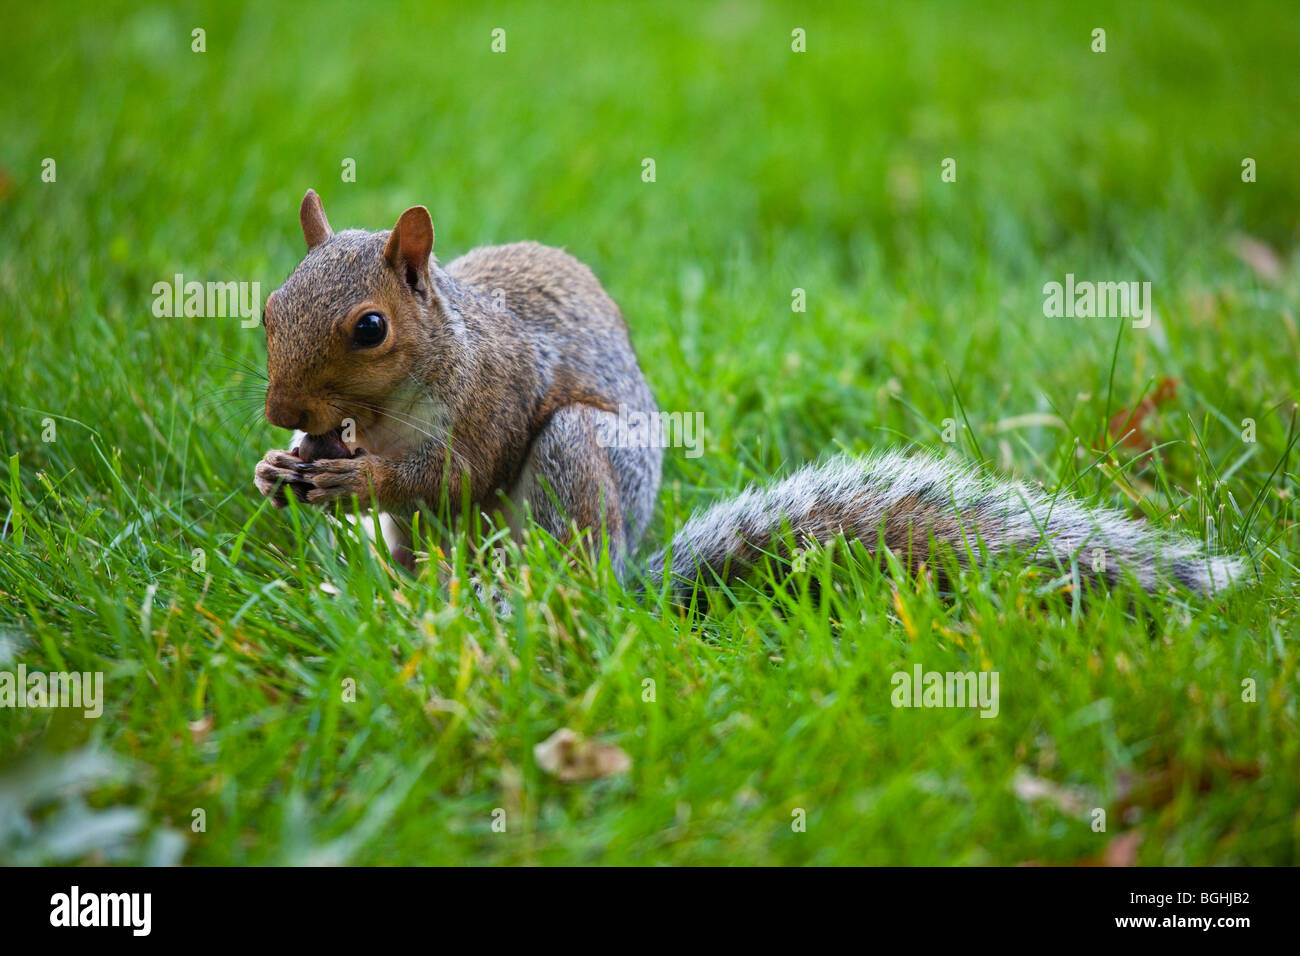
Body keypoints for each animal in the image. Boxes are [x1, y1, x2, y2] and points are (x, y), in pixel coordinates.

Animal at [254, 190, 1244, 599]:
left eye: (370, 328)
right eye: (267, 306)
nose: (281, 413)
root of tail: (631, 574)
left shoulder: (496, 388)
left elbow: (455, 473)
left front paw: (356, 477)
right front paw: (279, 467)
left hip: (575, 460)